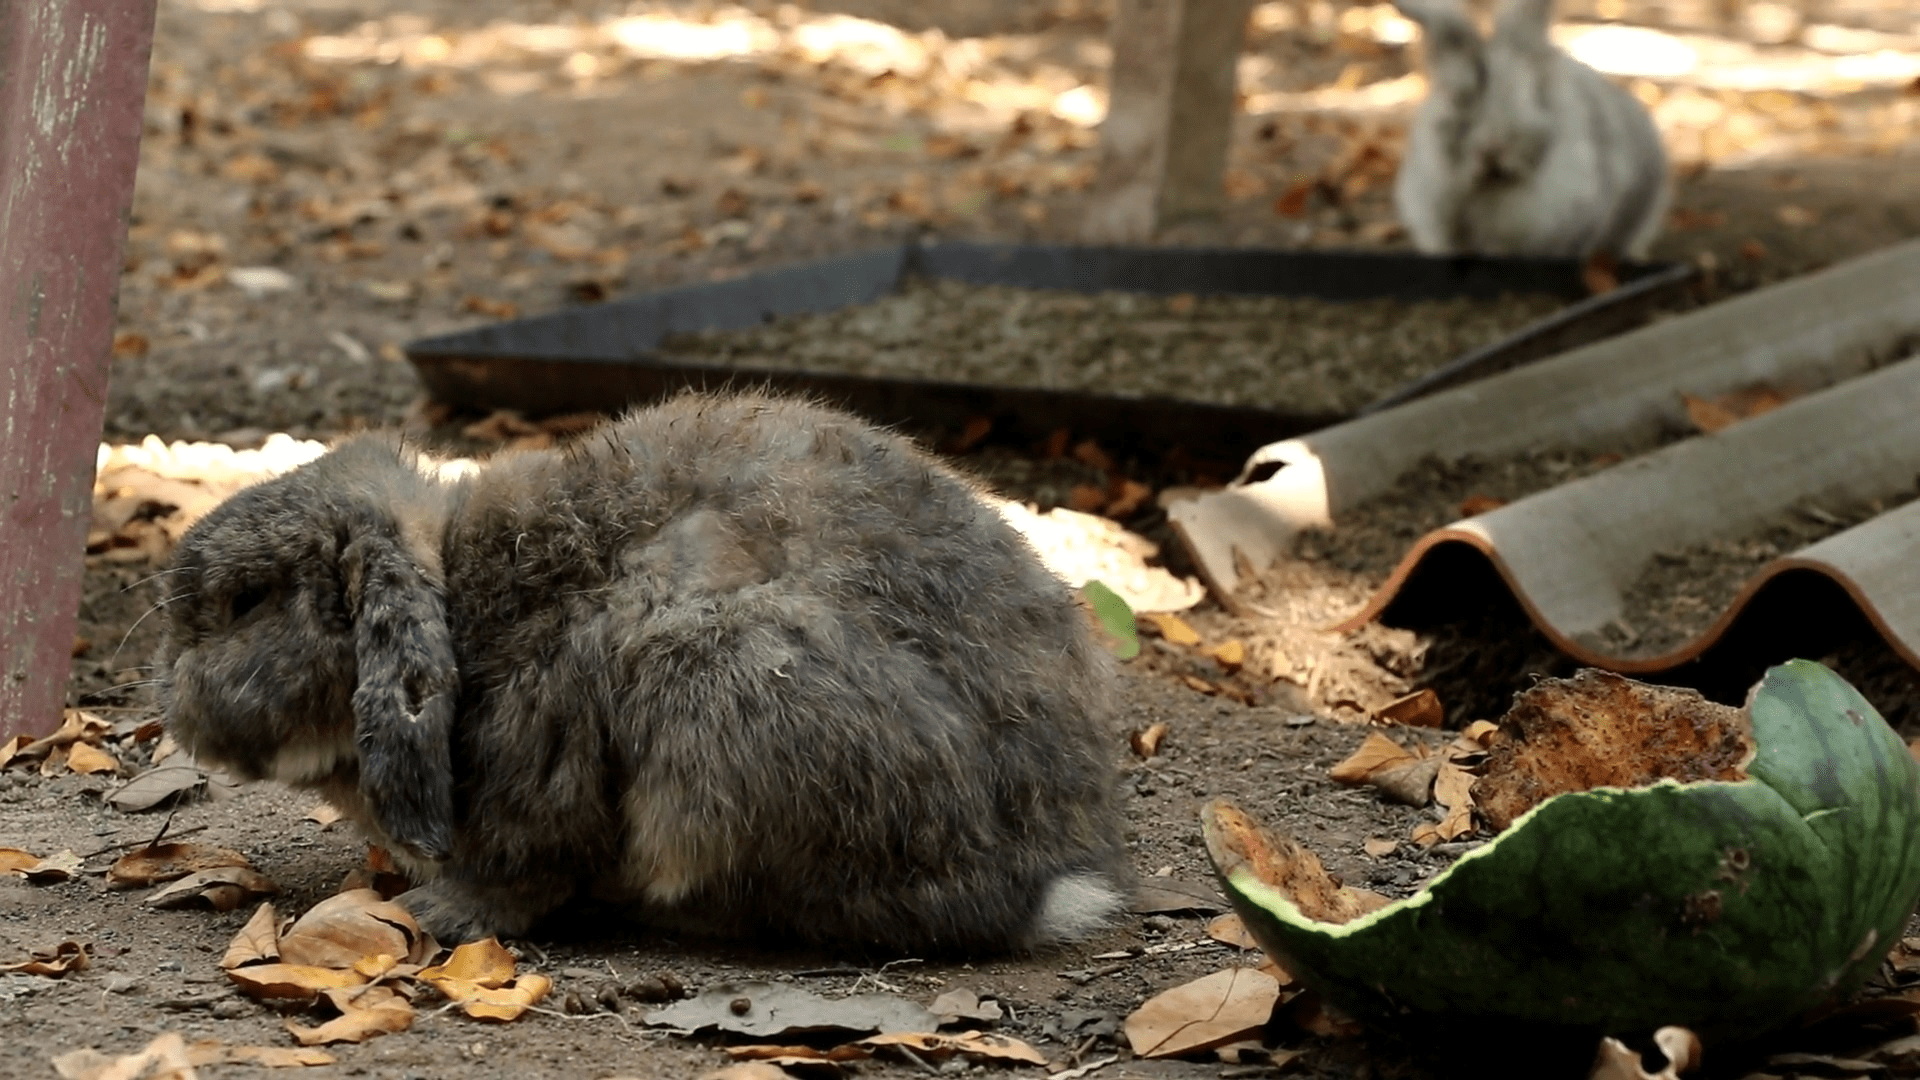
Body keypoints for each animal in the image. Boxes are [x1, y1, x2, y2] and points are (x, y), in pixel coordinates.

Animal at [156, 391, 1131, 955]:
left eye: (245, 603)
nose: (172, 703)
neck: (467, 611)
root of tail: (1044, 880)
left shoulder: (544, 776)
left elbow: (520, 874)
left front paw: (437, 915)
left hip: (719, 682)